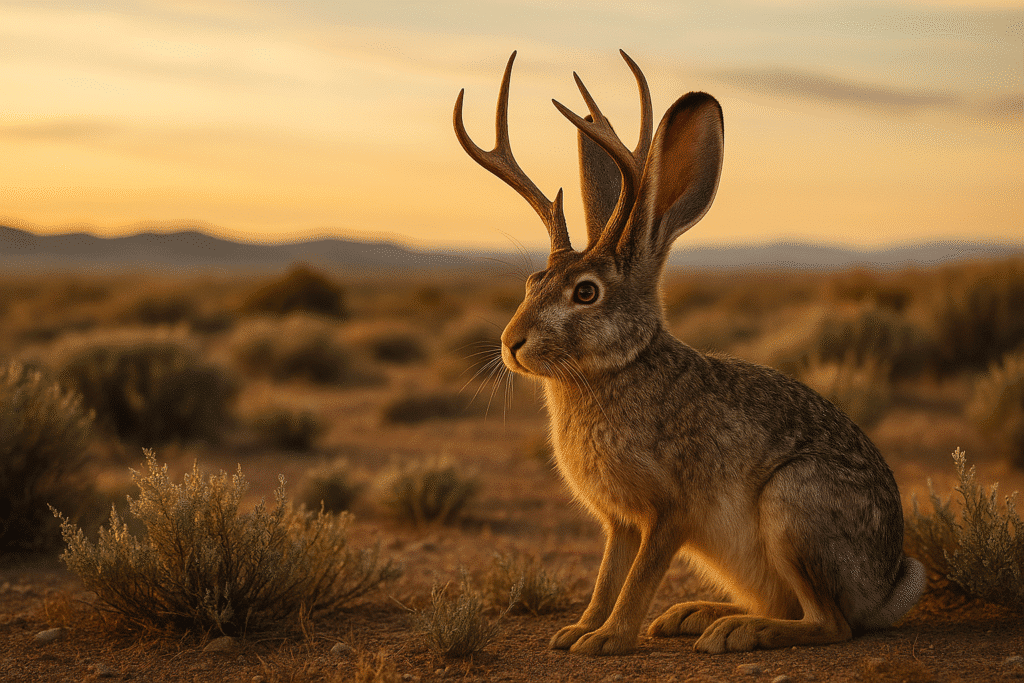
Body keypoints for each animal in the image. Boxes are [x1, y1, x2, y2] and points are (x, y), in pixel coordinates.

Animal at [453, 51, 925, 656]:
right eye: (534, 281)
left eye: (585, 293)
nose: (512, 344)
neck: (621, 366)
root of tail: (884, 589)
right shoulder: (620, 523)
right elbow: (608, 576)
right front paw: (577, 631)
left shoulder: (670, 512)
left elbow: (637, 579)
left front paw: (608, 640)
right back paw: (694, 615)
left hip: (792, 508)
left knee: (830, 624)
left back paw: (735, 632)